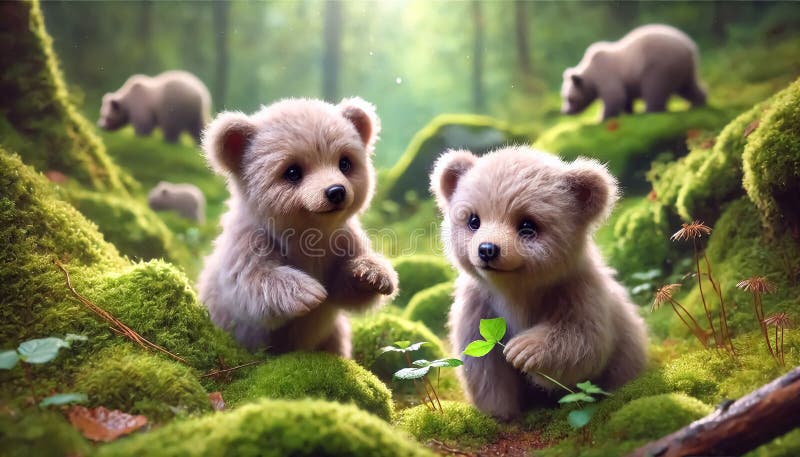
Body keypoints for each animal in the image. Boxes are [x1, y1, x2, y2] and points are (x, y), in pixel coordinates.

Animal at [197, 97, 398, 356]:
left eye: (344, 162)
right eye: (292, 171)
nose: (336, 191)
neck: (309, 232)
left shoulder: (341, 240)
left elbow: (344, 290)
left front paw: (373, 274)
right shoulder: (251, 240)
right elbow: (250, 283)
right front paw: (308, 292)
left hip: (331, 334)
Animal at [431, 146, 648, 420]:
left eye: (527, 224)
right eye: (473, 220)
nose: (488, 249)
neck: (515, 291)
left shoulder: (577, 290)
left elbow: (586, 340)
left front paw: (523, 349)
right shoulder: (479, 305)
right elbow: (483, 363)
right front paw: (500, 411)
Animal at [561, 24, 706, 120]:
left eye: (569, 98)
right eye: (563, 96)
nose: (565, 111)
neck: (591, 73)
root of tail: (690, 46)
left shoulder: (606, 73)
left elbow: (614, 96)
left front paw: (601, 117)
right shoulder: (624, 80)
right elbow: (626, 98)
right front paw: (628, 112)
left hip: (660, 64)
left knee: (654, 88)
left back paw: (649, 110)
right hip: (684, 69)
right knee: (688, 86)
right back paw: (697, 103)